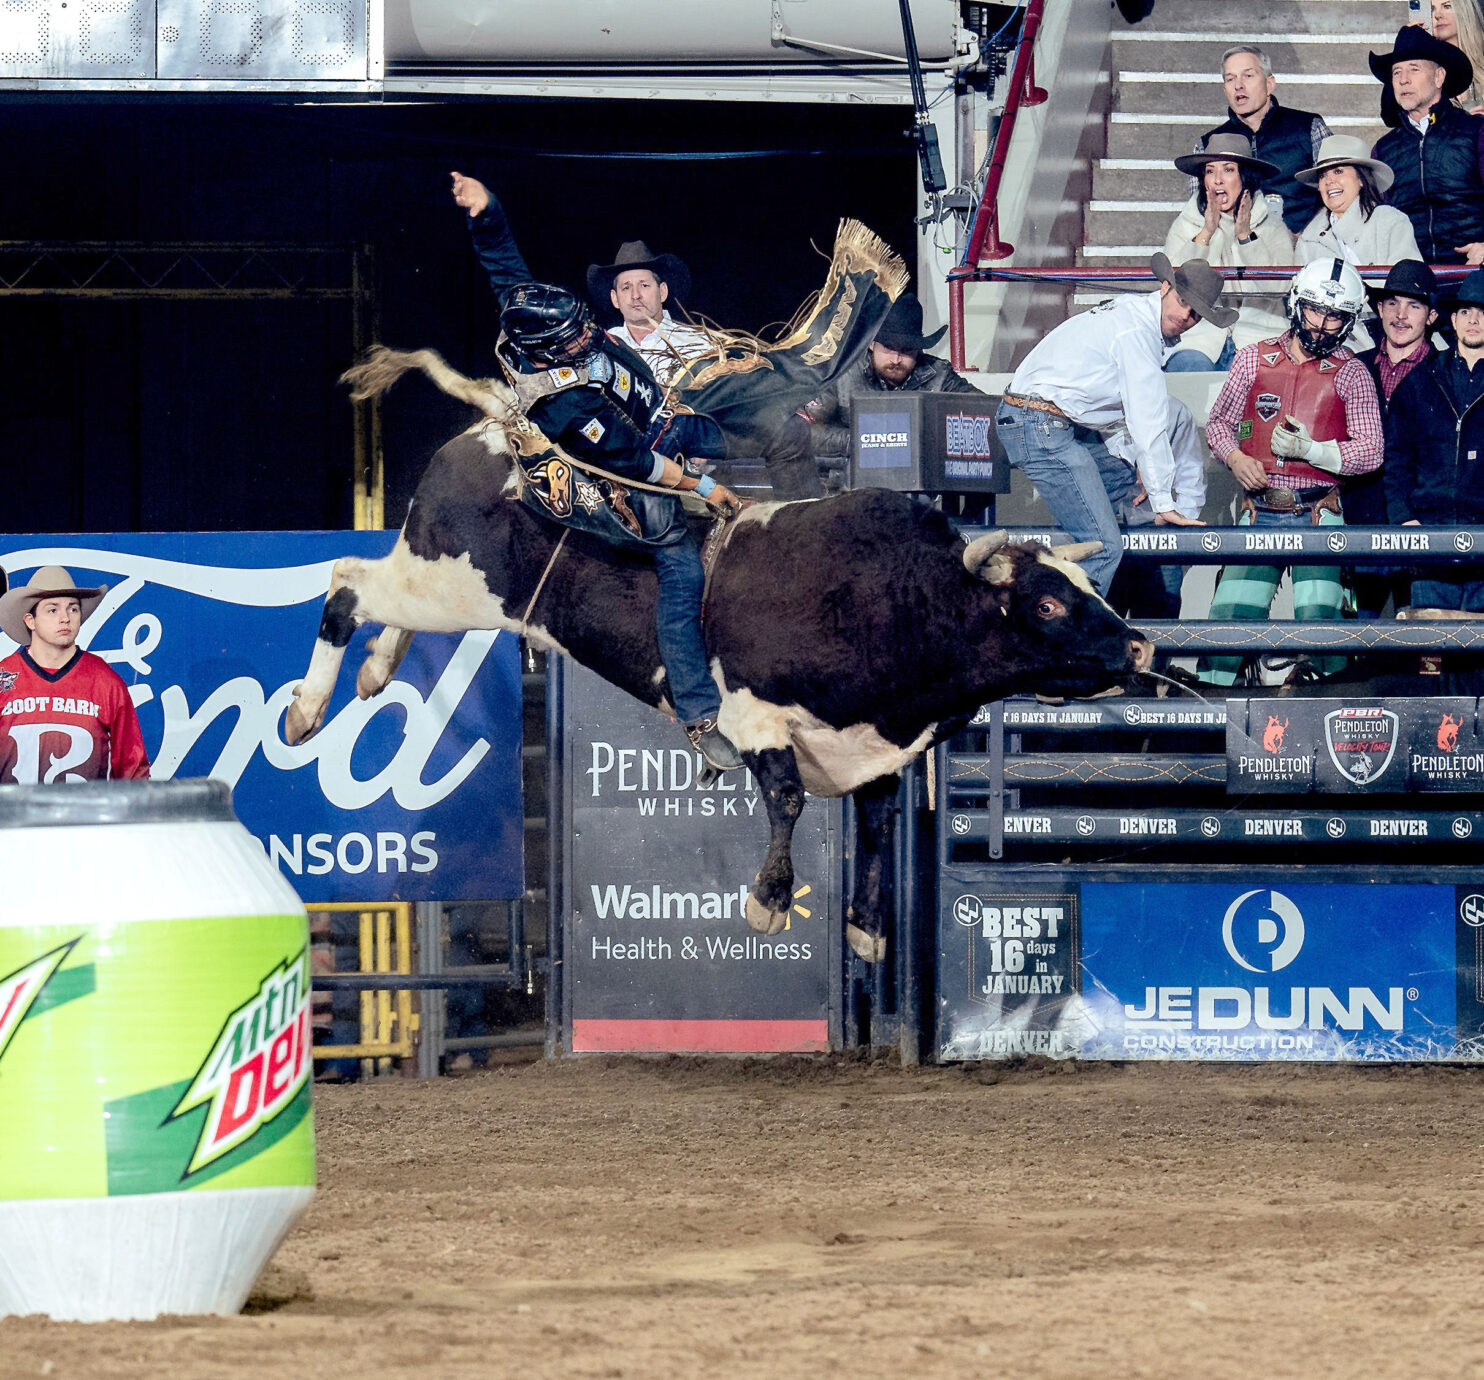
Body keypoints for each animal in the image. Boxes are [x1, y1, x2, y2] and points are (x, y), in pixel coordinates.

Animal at [285, 355, 1152, 962]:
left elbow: (874, 826)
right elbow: (788, 798)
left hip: (441, 583)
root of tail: (504, 424)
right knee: (347, 584)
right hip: (450, 581)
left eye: (1085, 587)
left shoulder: (873, 747)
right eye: (1046, 604)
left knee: (379, 602)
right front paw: (768, 902)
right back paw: (304, 711)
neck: (889, 597)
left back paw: (375, 672)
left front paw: (866, 930)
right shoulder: (754, 714)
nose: (1138, 643)